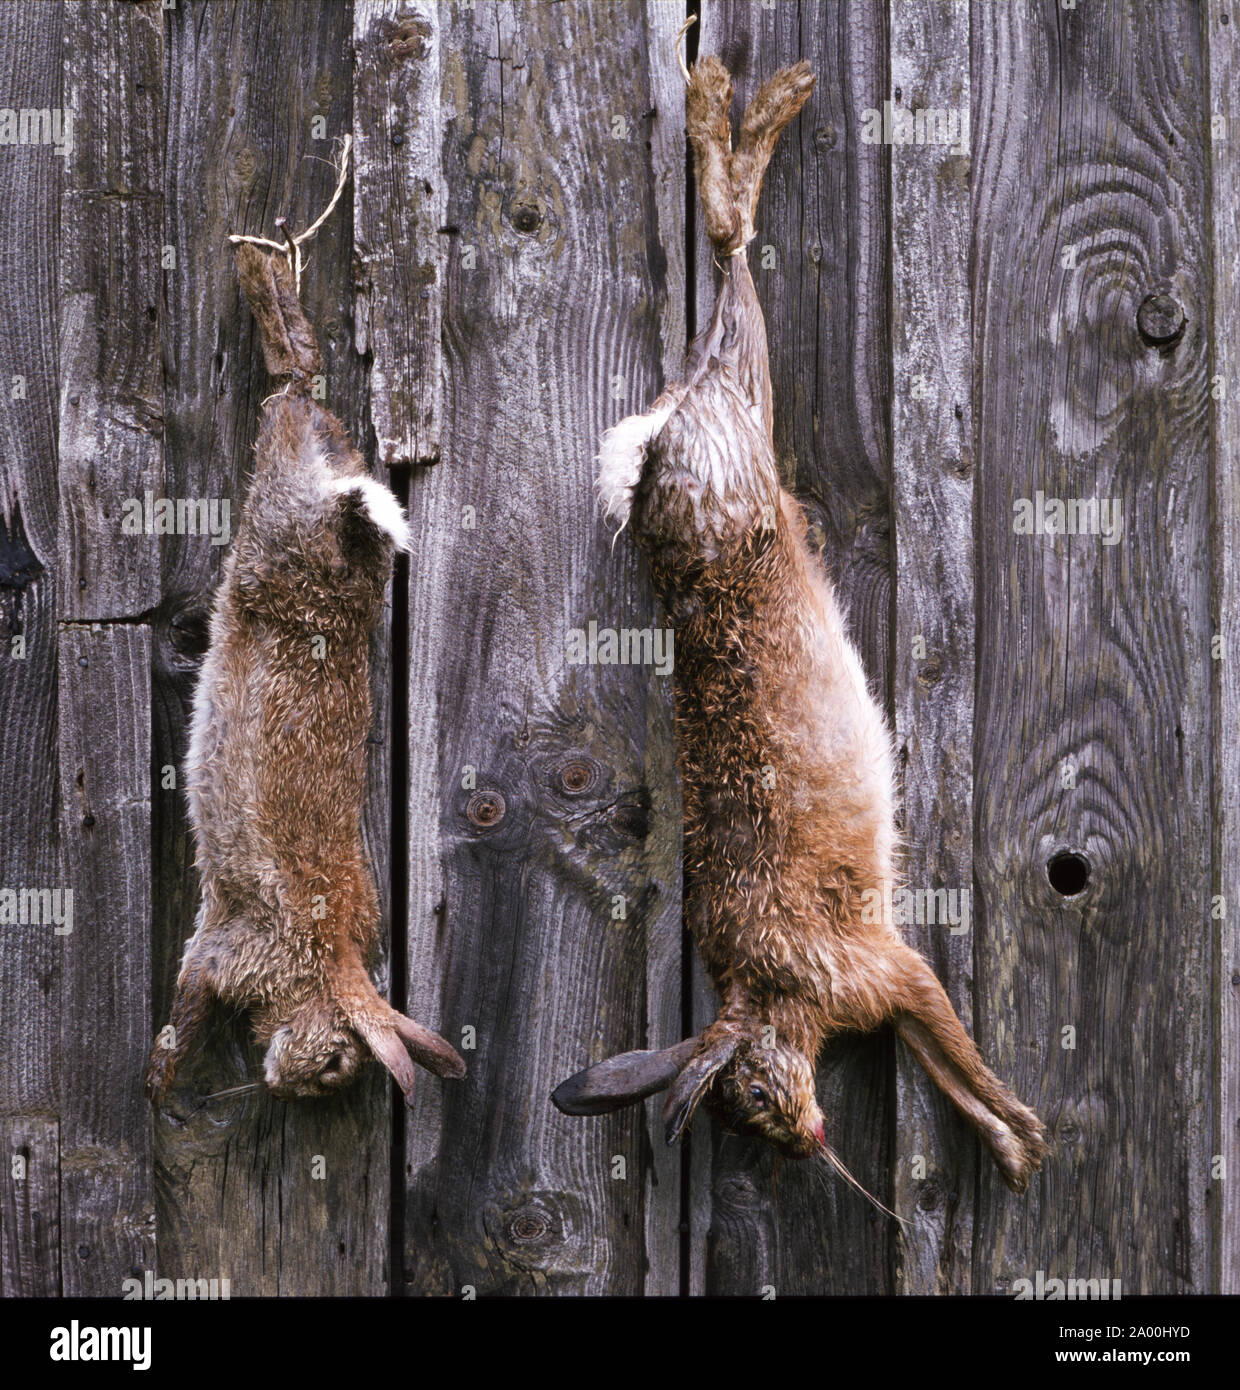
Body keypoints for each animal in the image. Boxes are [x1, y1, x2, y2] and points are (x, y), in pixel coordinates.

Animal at [144, 243, 464, 1107]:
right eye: (336, 1063)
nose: (293, 1088)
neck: (322, 972)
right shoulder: (228, 951)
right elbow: (186, 1007)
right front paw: (158, 1080)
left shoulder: (218, 944)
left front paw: (158, 1079)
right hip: (279, 527)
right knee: (294, 401)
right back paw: (262, 284)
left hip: (284, 494)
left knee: (298, 388)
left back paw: (262, 285)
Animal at [552, 56, 1047, 1194]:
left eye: (754, 1096)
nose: (809, 1140)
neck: (772, 995)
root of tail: (657, 450)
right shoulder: (886, 976)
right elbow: (935, 1055)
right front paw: (1016, 1148)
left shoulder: (885, 968)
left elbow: (952, 1052)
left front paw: (1022, 1142)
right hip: (743, 411)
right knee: (730, 274)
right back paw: (739, 99)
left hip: (743, 421)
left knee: (733, 263)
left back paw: (743, 96)